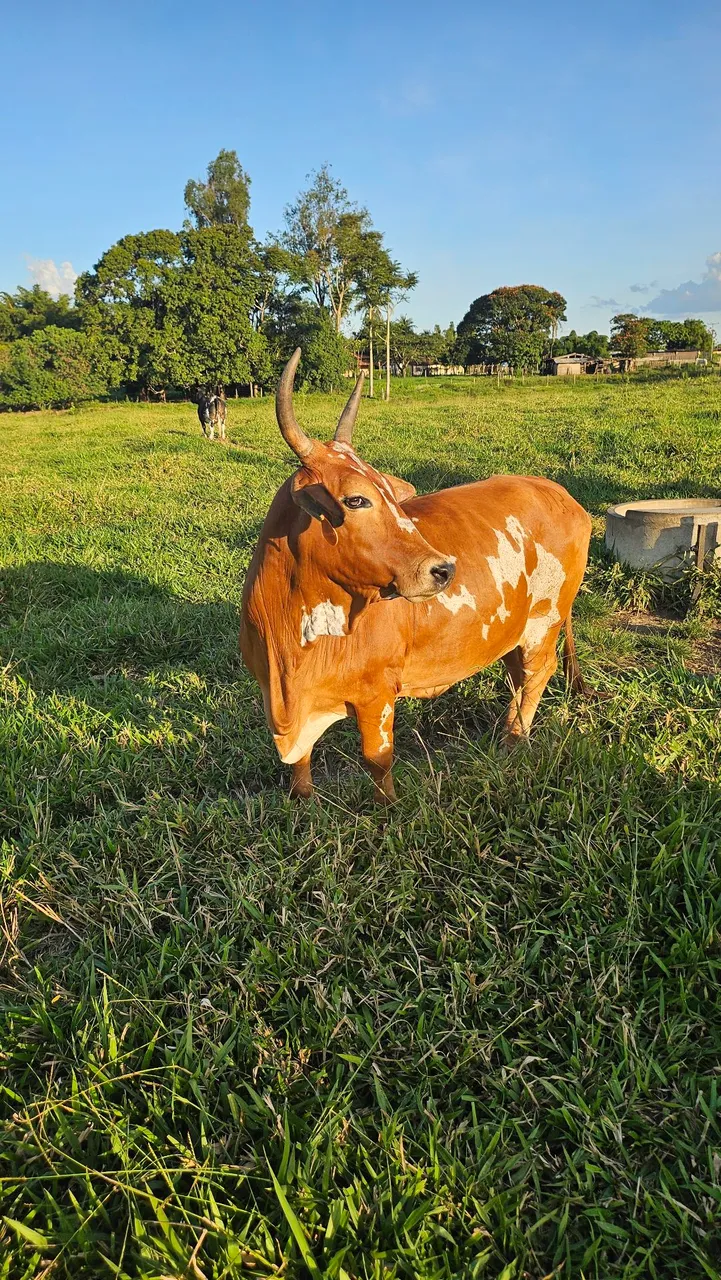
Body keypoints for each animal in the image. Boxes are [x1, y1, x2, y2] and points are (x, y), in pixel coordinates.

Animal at [240, 348, 592, 802]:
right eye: (356, 500)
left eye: (393, 497)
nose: (443, 570)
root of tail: (559, 492)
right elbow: (301, 767)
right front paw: (304, 806)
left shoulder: (377, 694)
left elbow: (377, 759)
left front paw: (387, 808)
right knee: (518, 676)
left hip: (544, 622)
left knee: (536, 675)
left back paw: (514, 742)